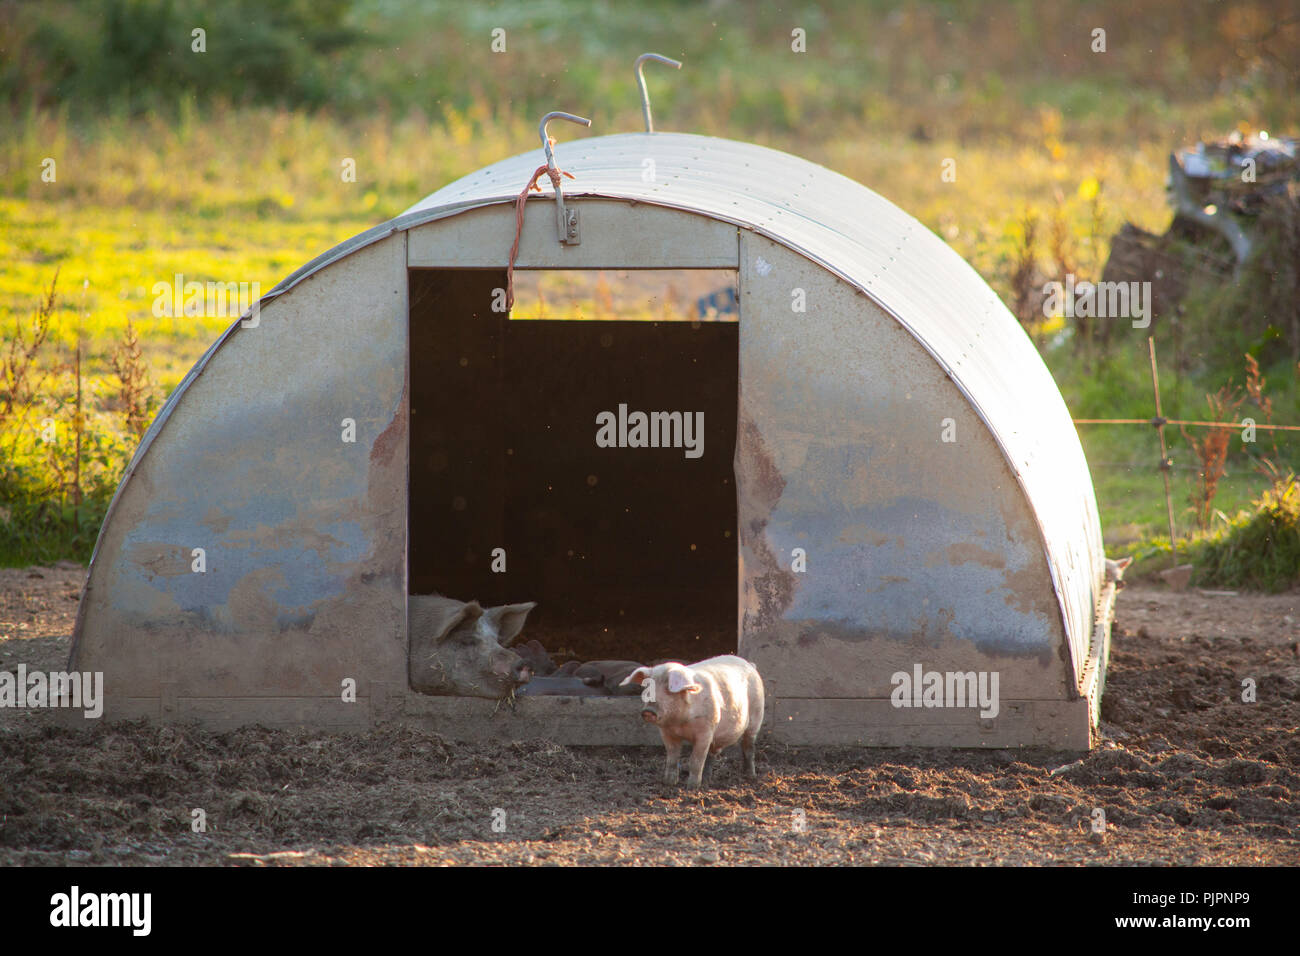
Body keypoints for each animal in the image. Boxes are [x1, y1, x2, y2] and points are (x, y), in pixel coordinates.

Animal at [620, 655, 765, 788]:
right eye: (648, 687)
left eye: (668, 688)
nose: (648, 711)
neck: (679, 722)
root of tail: (750, 665)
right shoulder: (667, 733)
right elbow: (672, 758)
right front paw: (668, 783)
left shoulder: (705, 731)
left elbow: (695, 760)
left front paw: (692, 787)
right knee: (712, 753)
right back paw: (706, 781)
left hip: (756, 717)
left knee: (748, 747)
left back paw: (750, 776)